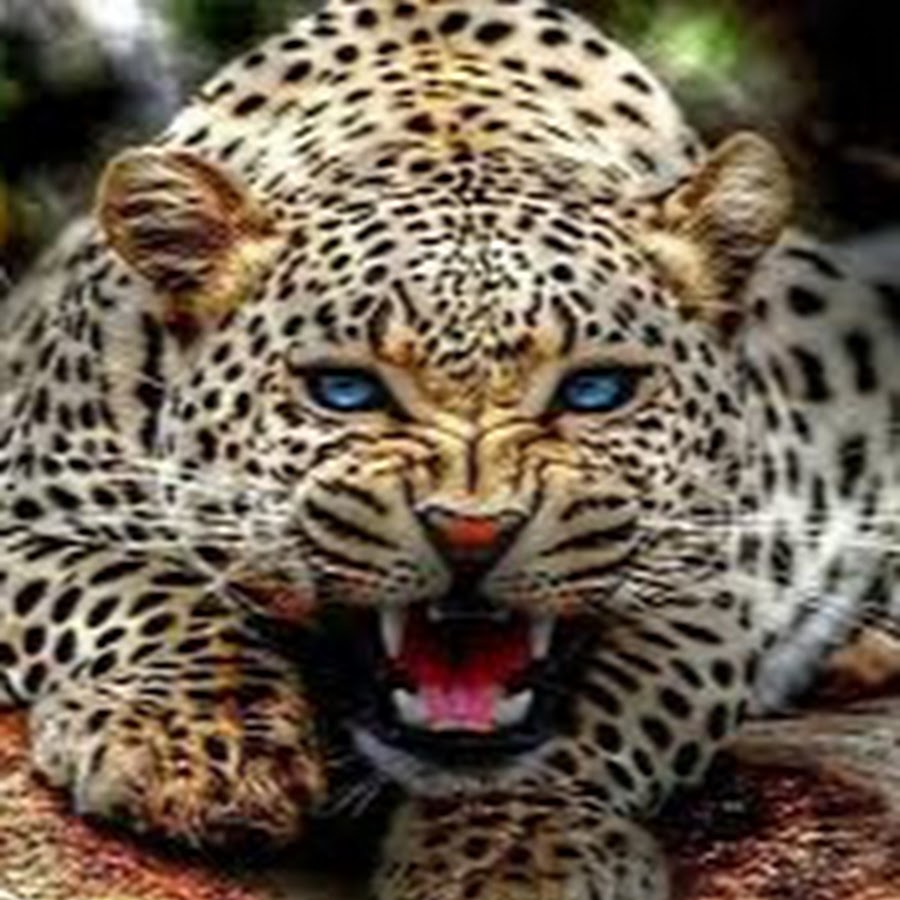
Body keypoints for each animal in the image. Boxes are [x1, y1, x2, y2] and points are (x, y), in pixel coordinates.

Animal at [1, 0, 898, 898]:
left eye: (595, 391)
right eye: (345, 391)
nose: (473, 535)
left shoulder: (708, 584)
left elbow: (606, 714)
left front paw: (513, 852)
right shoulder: (28, 509)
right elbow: (144, 589)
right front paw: (200, 741)